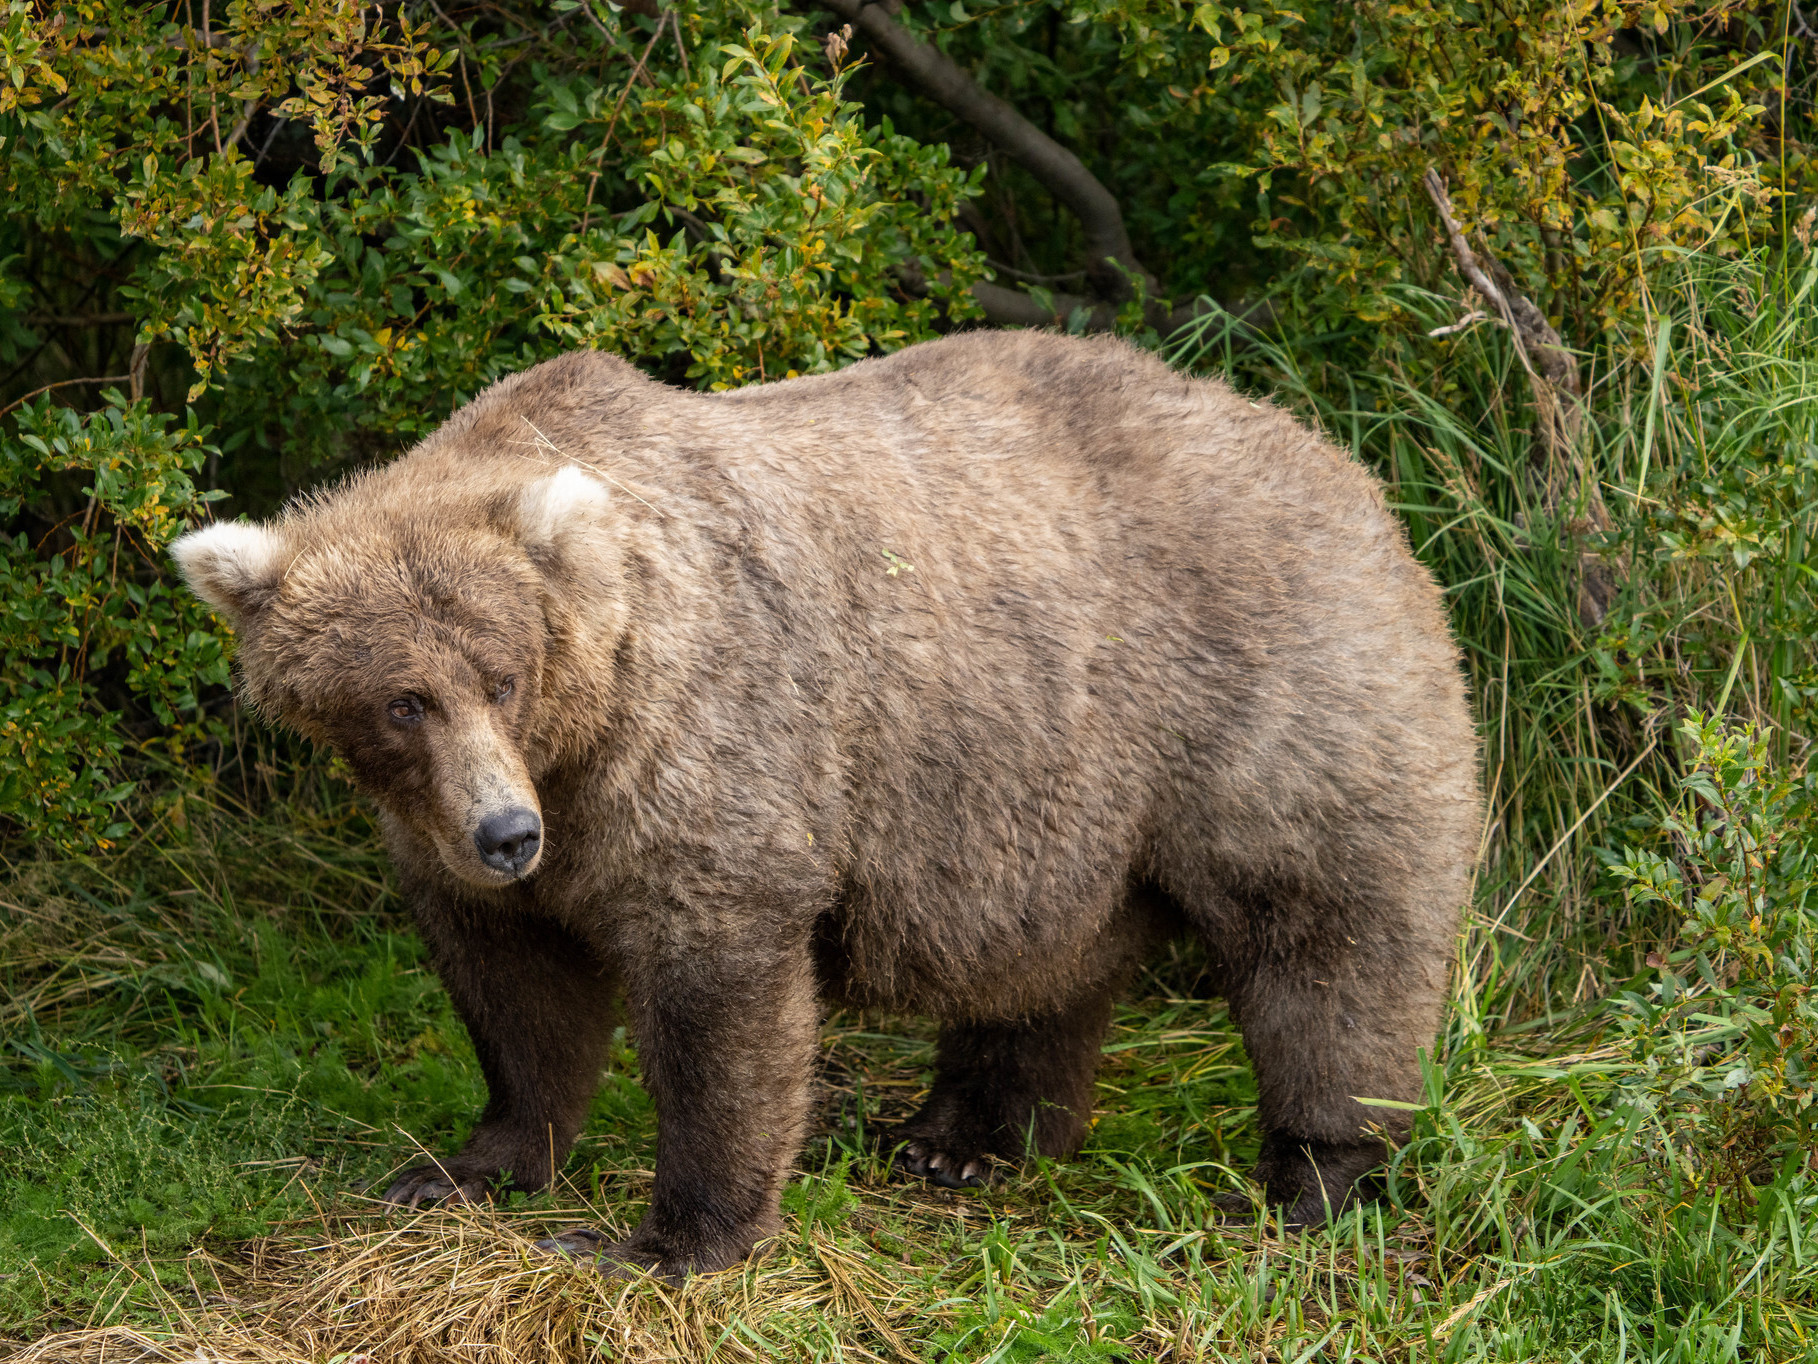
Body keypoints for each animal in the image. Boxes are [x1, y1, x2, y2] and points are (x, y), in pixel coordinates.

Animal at [171, 330, 1481, 1279]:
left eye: (499, 673)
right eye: (400, 701)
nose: (507, 833)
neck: (581, 740)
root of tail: (1342, 461)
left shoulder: (706, 747)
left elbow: (720, 989)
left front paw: (664, 1238)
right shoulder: (467, 833)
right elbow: (517, 990)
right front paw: (465, 1162)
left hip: (1265, 699)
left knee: (1326, 936)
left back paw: (1320, 1175)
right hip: (1054, 787)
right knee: (1042, 961)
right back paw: (962, 1140)